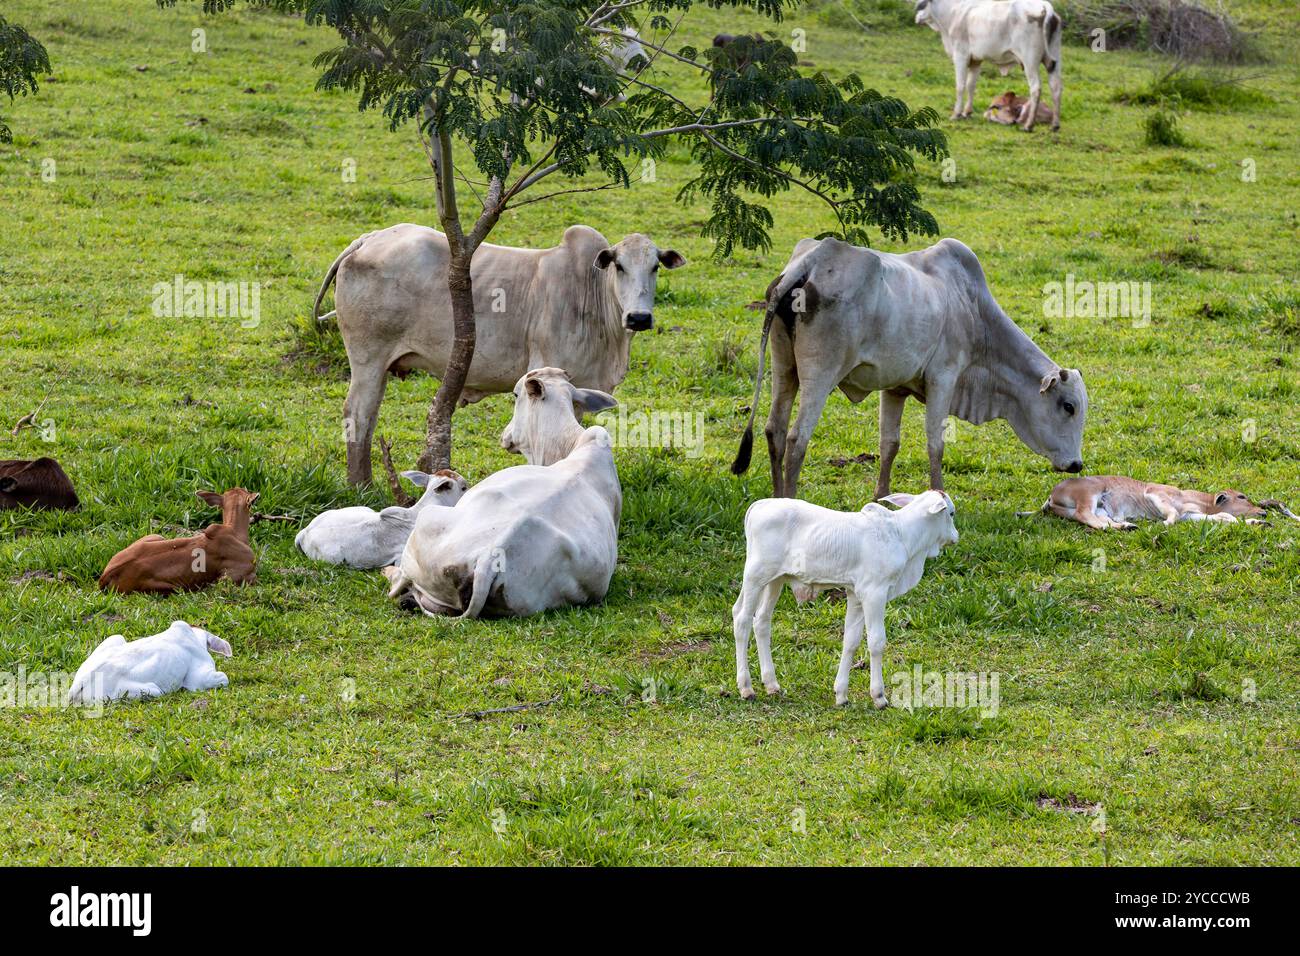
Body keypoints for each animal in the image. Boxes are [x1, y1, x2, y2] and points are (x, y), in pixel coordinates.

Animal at [313, 224, 686, 485]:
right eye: (619, 266)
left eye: (655, 267)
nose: (639, 317)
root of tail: (369, 238)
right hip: (368, 360)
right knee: (359, 414)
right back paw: (361, 485)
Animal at [385, 367, 621, 619]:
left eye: (516, 395)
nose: (505, 436)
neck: (574, 445)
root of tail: (489, 557)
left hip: (427, 521)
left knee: (401, 583)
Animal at [731, 236, 1088, 500]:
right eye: (1068, 406)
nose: (1076, 465)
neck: (974, 313)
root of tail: (813, 260)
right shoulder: (944, 377)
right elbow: (936, 443)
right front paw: (939, 497)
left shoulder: (894, 387)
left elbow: (889, 444)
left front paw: (881, 498)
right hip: (821, 372)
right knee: (797, 438)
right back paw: (791, 501)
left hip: (783, 365)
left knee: (775, 429)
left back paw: (776, 500)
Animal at [733, 490, 959, 707]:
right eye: (951, 513)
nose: (956, 536)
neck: (901, 535)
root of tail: (761, 504)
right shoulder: (874, 592)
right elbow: (876, 641)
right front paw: (879, 697)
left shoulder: (856, 595)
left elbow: (851, 640)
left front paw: (841, 695)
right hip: (756, 575)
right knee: (742, 619)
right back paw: (746, 688)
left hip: (775, 580)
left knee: (761, 621)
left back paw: (771, 684)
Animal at [914, 0, 1063, 131]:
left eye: (922, 4)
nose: (916, 18)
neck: (953, 12)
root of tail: (1045, 5)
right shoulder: (976, 61)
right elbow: (971, 85)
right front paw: (967, 112)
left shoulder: (960, 55)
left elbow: (960, 86)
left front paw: (956, 114)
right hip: (1054, 60)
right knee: (1056, 87)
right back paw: (1054, 125)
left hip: (1029, 60)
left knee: (1036, 88)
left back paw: (1028, 125)